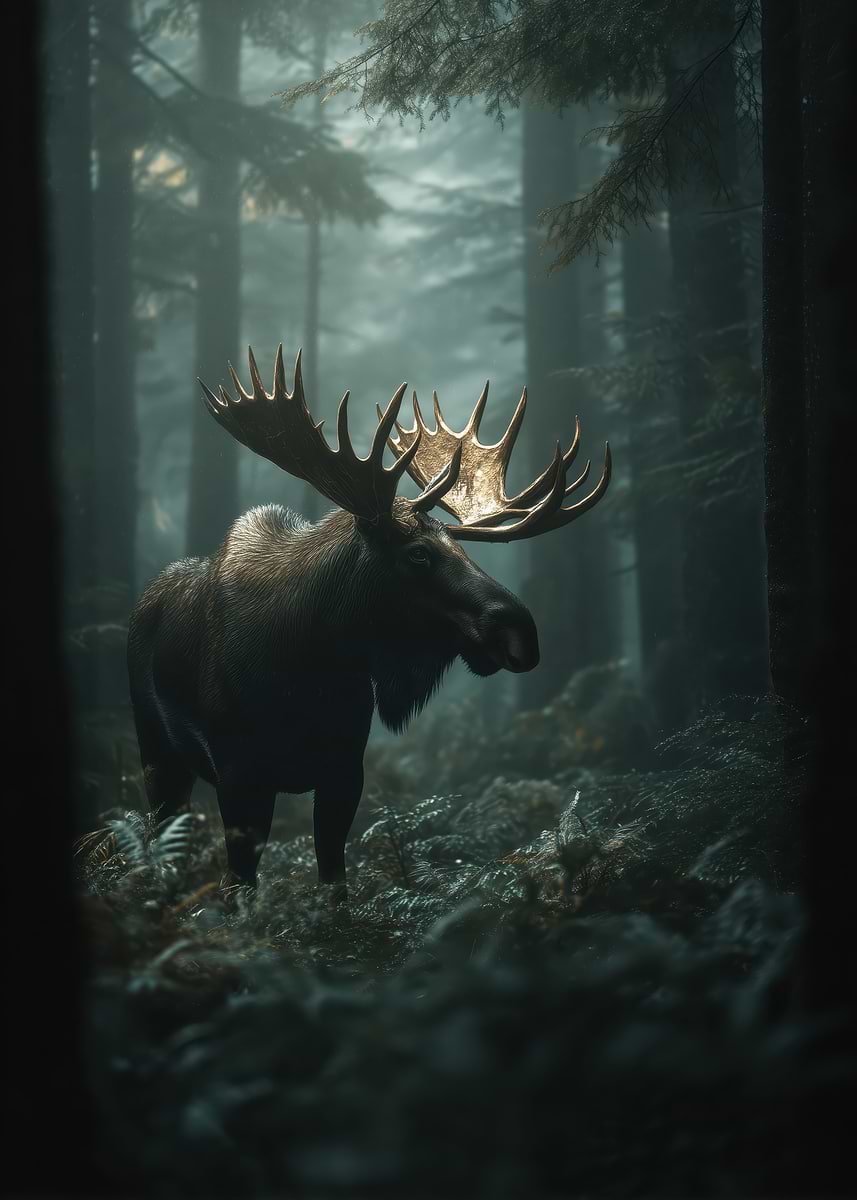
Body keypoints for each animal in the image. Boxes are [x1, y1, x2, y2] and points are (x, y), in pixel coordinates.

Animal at [127, 346, 611, 900]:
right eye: (418, 554)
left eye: (461, 548)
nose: (522, 633)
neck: (313, 667)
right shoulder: (239, 775)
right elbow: (239, 888)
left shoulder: (344, 769)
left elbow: (334, 881)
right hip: (157, 752)